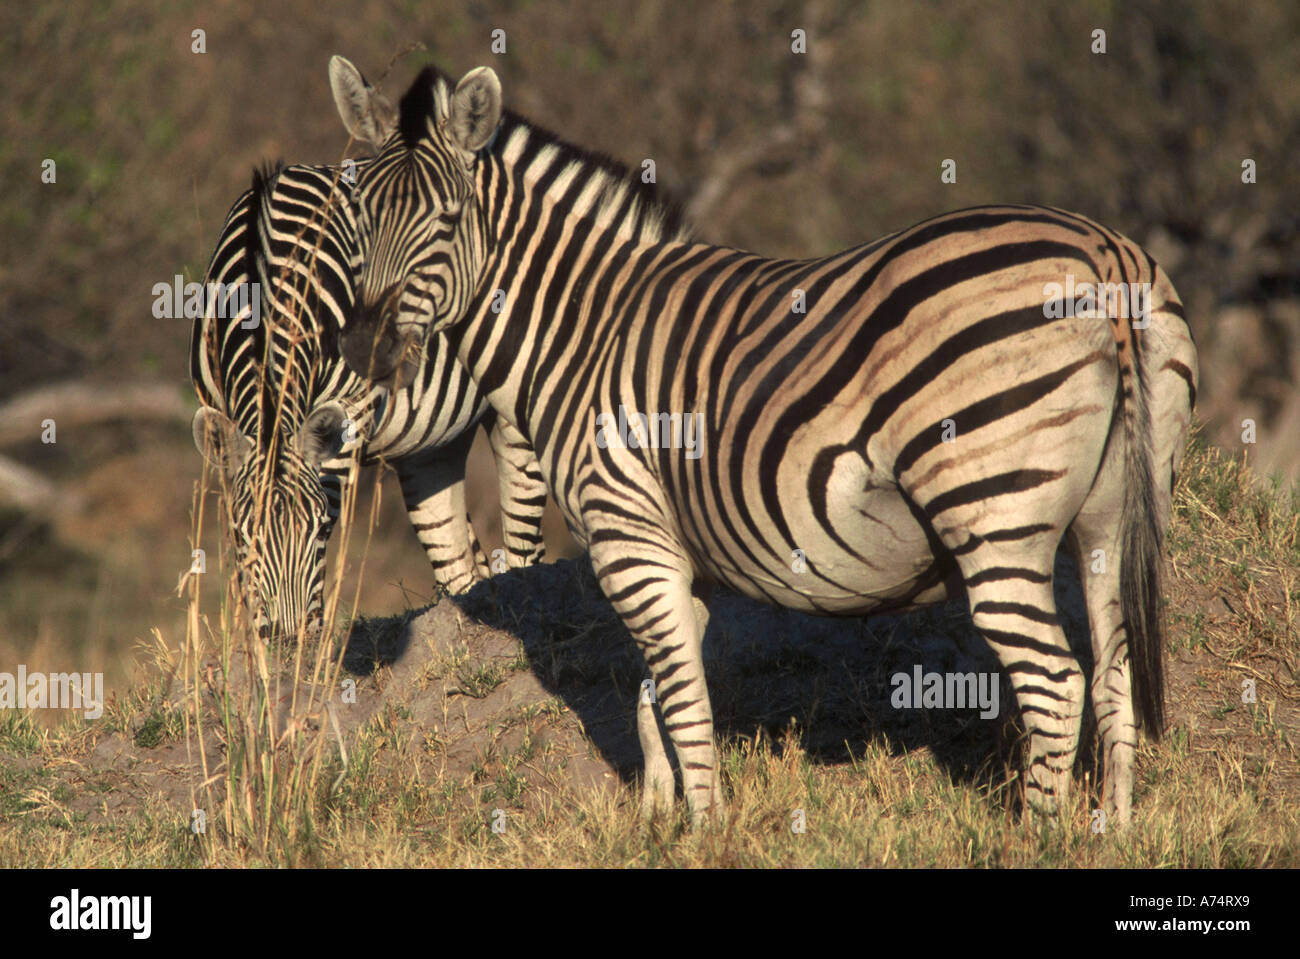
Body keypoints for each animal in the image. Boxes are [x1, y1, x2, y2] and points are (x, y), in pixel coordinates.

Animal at [190, 160, 547, 641]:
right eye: (242, 534)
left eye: (321, 531)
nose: (289, 641)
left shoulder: (348, 416)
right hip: (431, 449)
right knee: (460, 564)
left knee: (526, 542)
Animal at [327, 56, 1198, 825]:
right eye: (360, 222)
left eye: (446, 224)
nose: (363, 349)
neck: (583, 330)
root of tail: (1105, 251)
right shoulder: (676, 552)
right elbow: (655, 699)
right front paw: (660, 823)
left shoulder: (628, 534)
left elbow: (681, 701)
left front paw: (707, 830)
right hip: (1113, 515)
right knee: (1114, 672)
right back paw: (1110, 831)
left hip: (993, 513)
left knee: (1056, 684)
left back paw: (1038, 837)